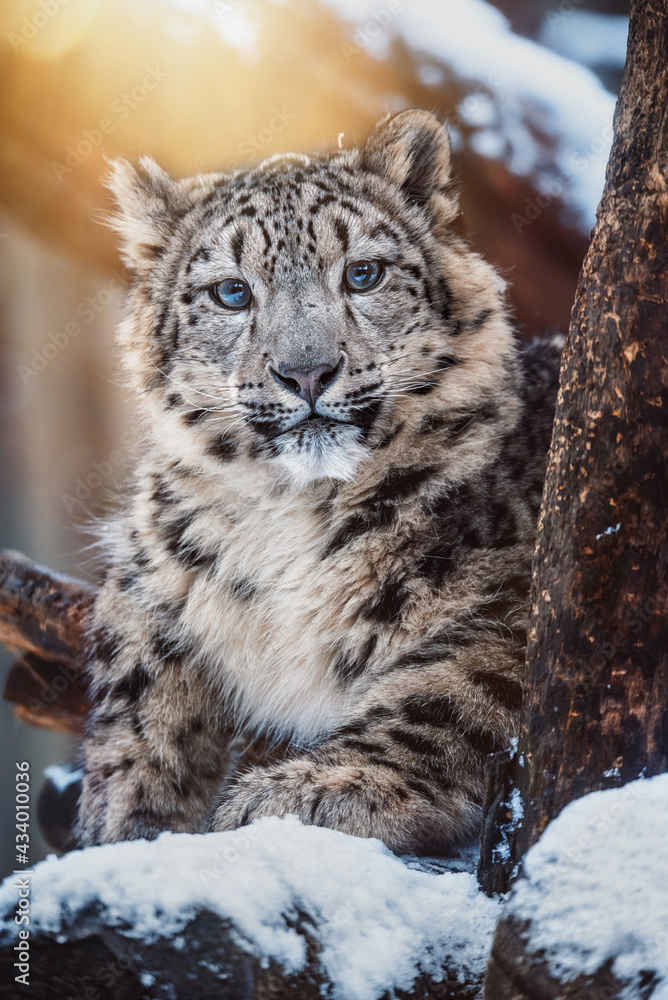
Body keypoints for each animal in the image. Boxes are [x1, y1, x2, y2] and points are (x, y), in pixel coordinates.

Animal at [77, 108, 561, 855]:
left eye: (363, 274)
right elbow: (138, 695)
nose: (306, 372)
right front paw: (128, 819)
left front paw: (307, 791)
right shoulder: (149, 577)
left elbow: (449, 692)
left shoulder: (508, 603)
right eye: (231, 292)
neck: (292, 514)